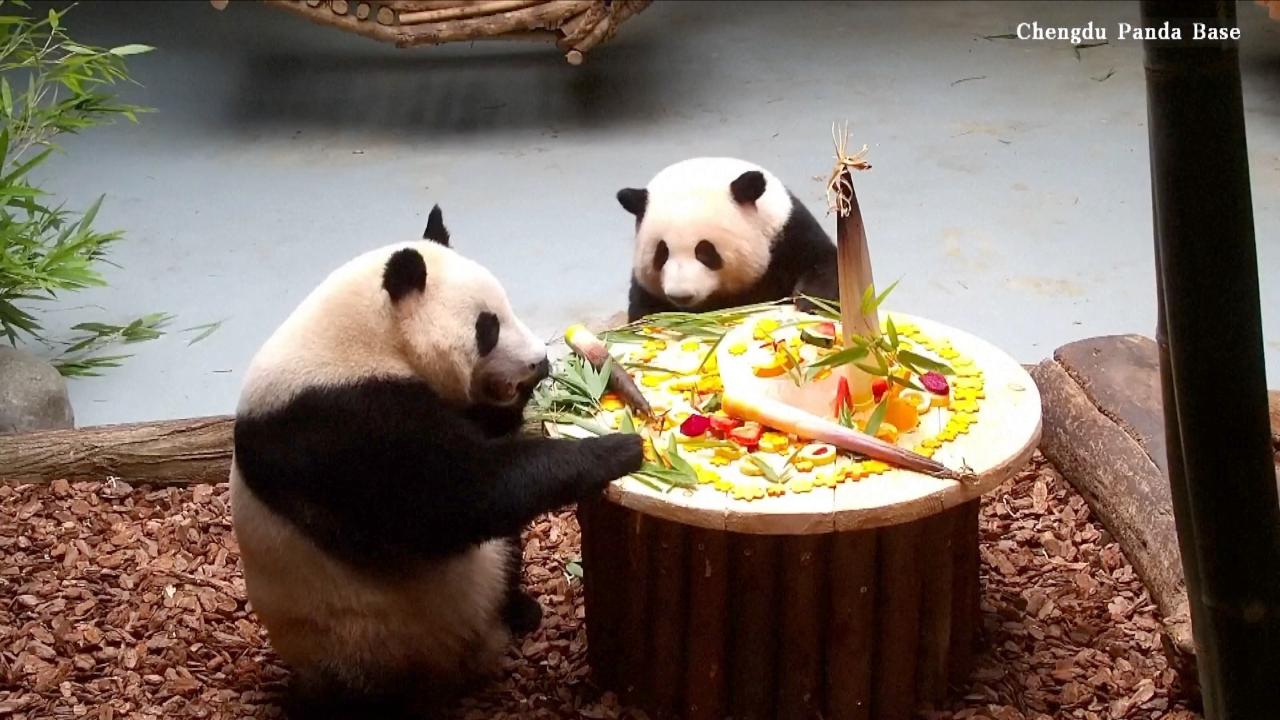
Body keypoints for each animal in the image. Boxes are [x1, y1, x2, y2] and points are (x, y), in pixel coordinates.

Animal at [229, 206, 644, 719]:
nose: (540, 364)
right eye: (488, 327)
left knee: (506, 550)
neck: (364, 336)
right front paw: (619, 449)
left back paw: (521, 610)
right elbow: (453, 497)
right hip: (358, 642)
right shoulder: (335, 422)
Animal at [617, 156, 840, 322]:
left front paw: (809, 302)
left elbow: (826, 264)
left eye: (705, 252)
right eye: (661, 253)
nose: (681, 295)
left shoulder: (788, 235)